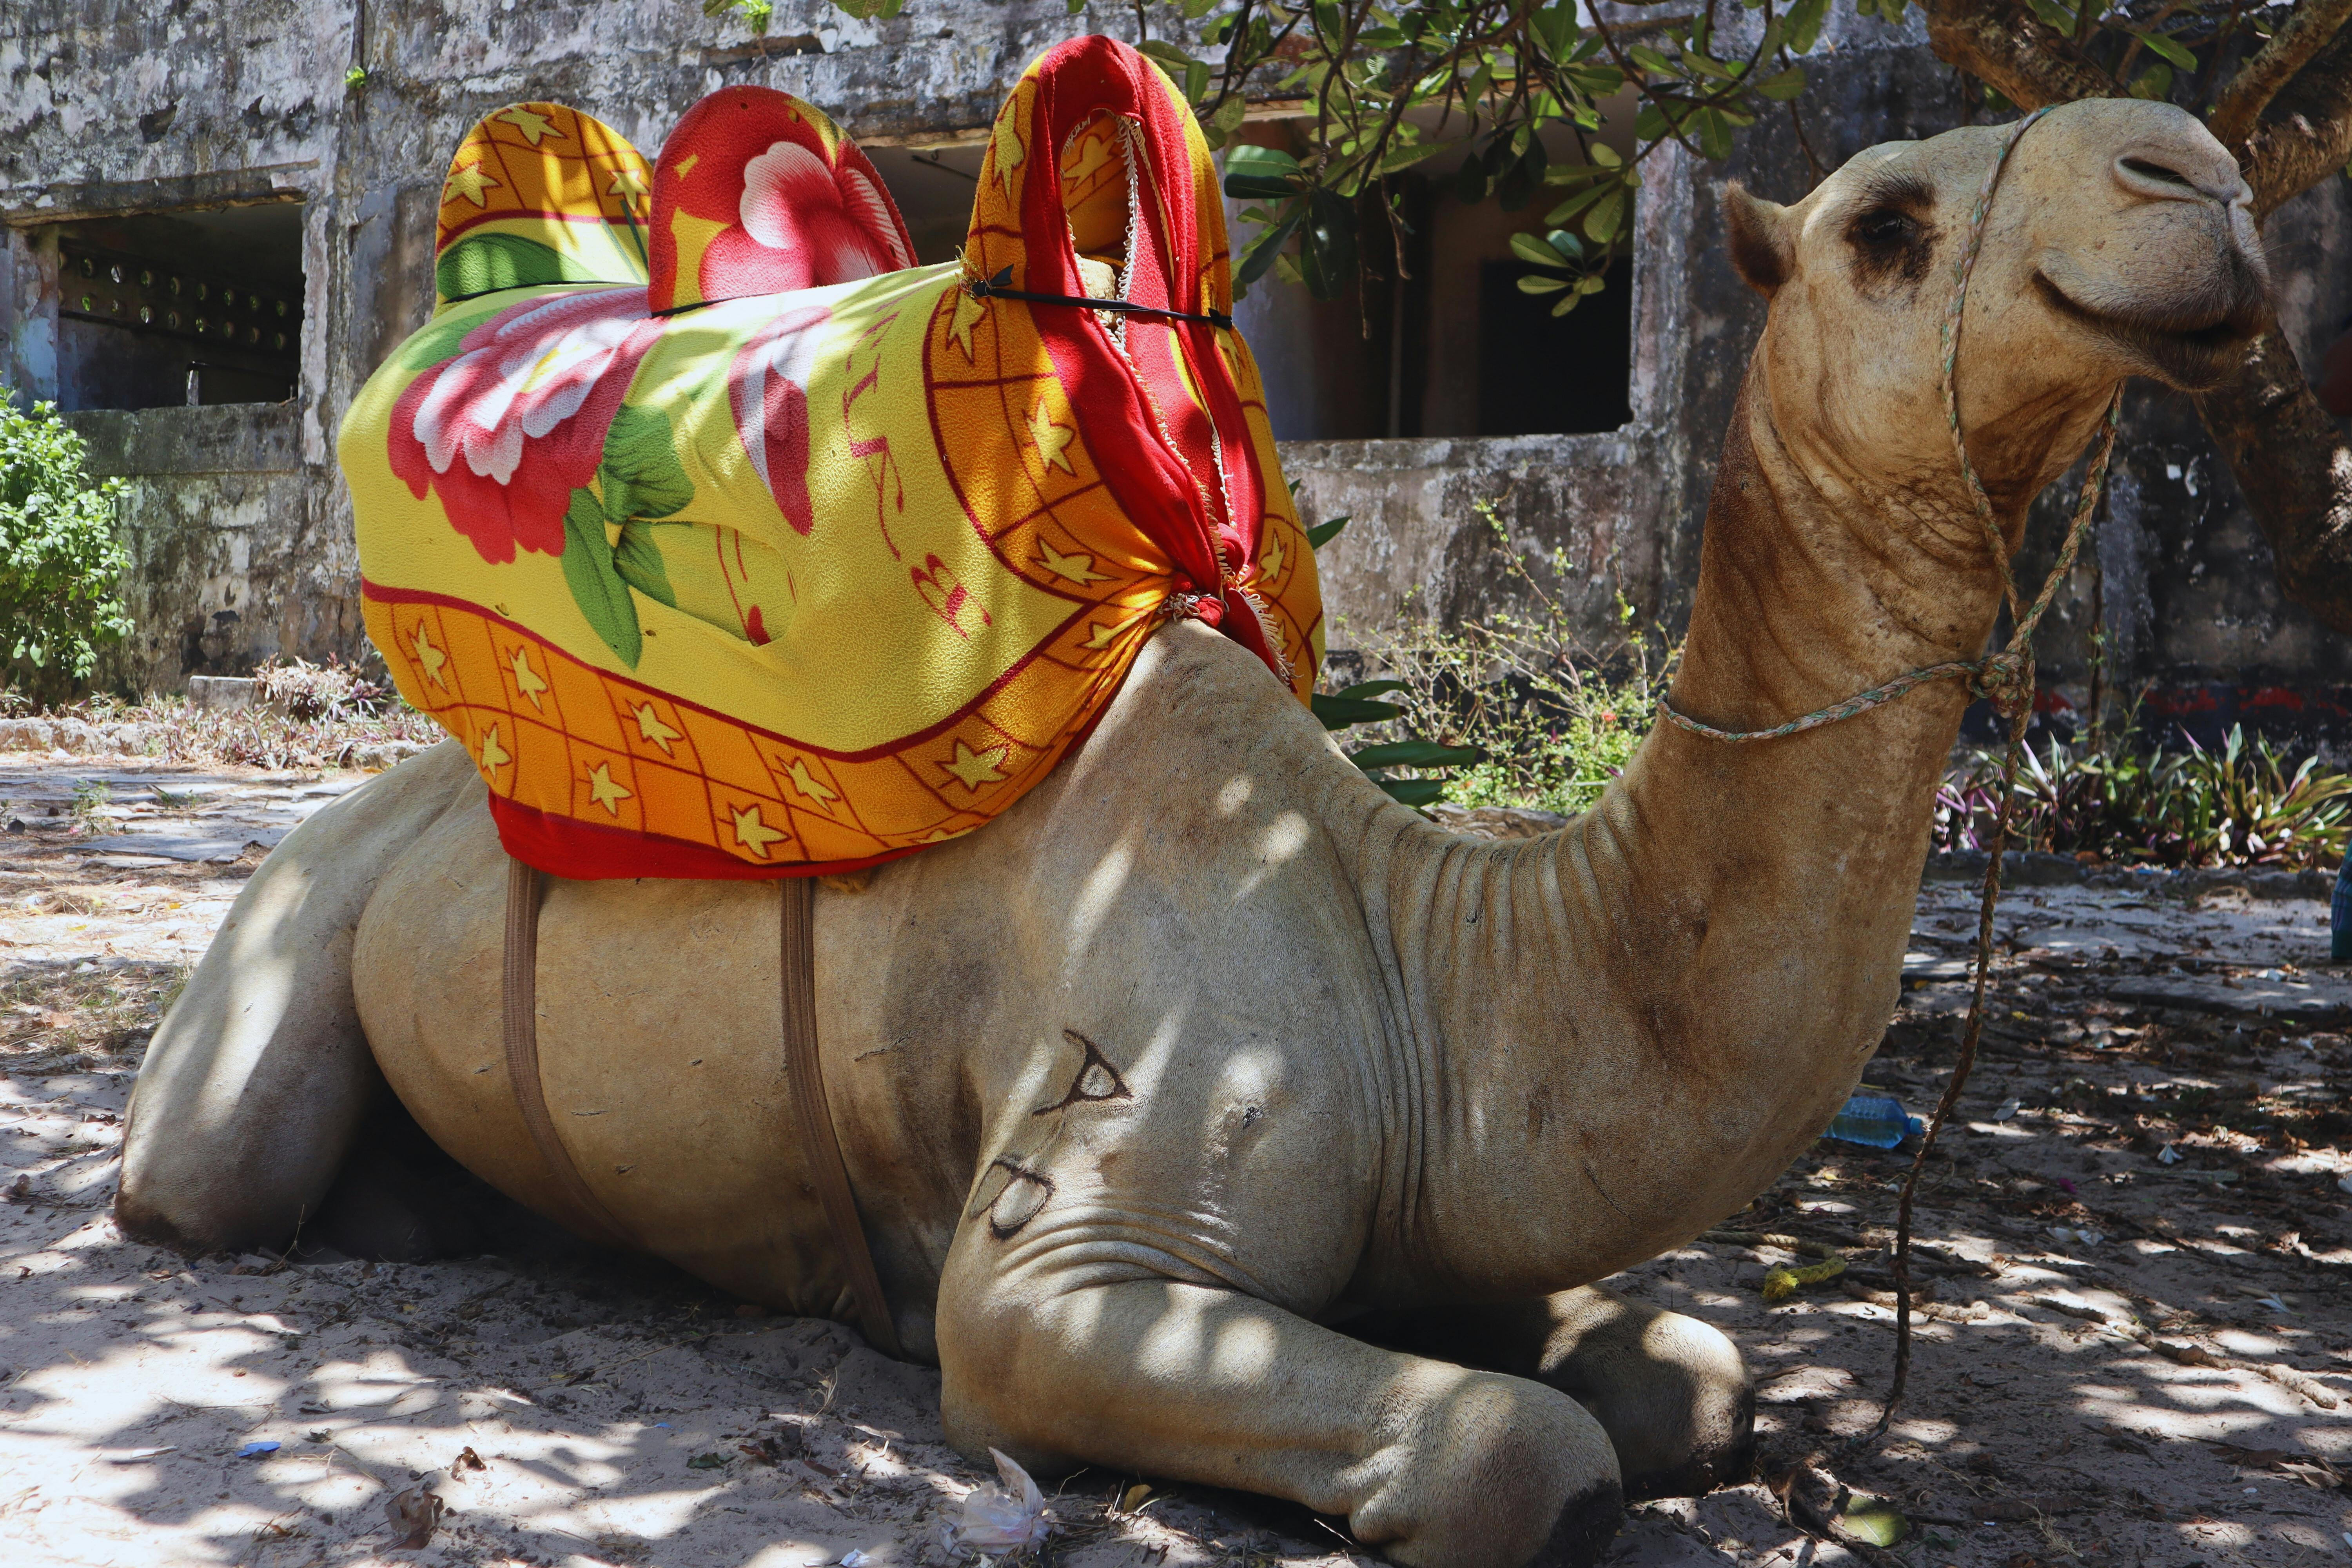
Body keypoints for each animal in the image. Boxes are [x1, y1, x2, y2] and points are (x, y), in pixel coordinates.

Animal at [116, 98, 2266, 1568]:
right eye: (1886, 224)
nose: (2201, 179)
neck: (1430, 956)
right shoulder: (1062, 1251)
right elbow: (1517, 1450)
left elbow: (1695, 1370)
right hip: (286, 929)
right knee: (203, 1167)